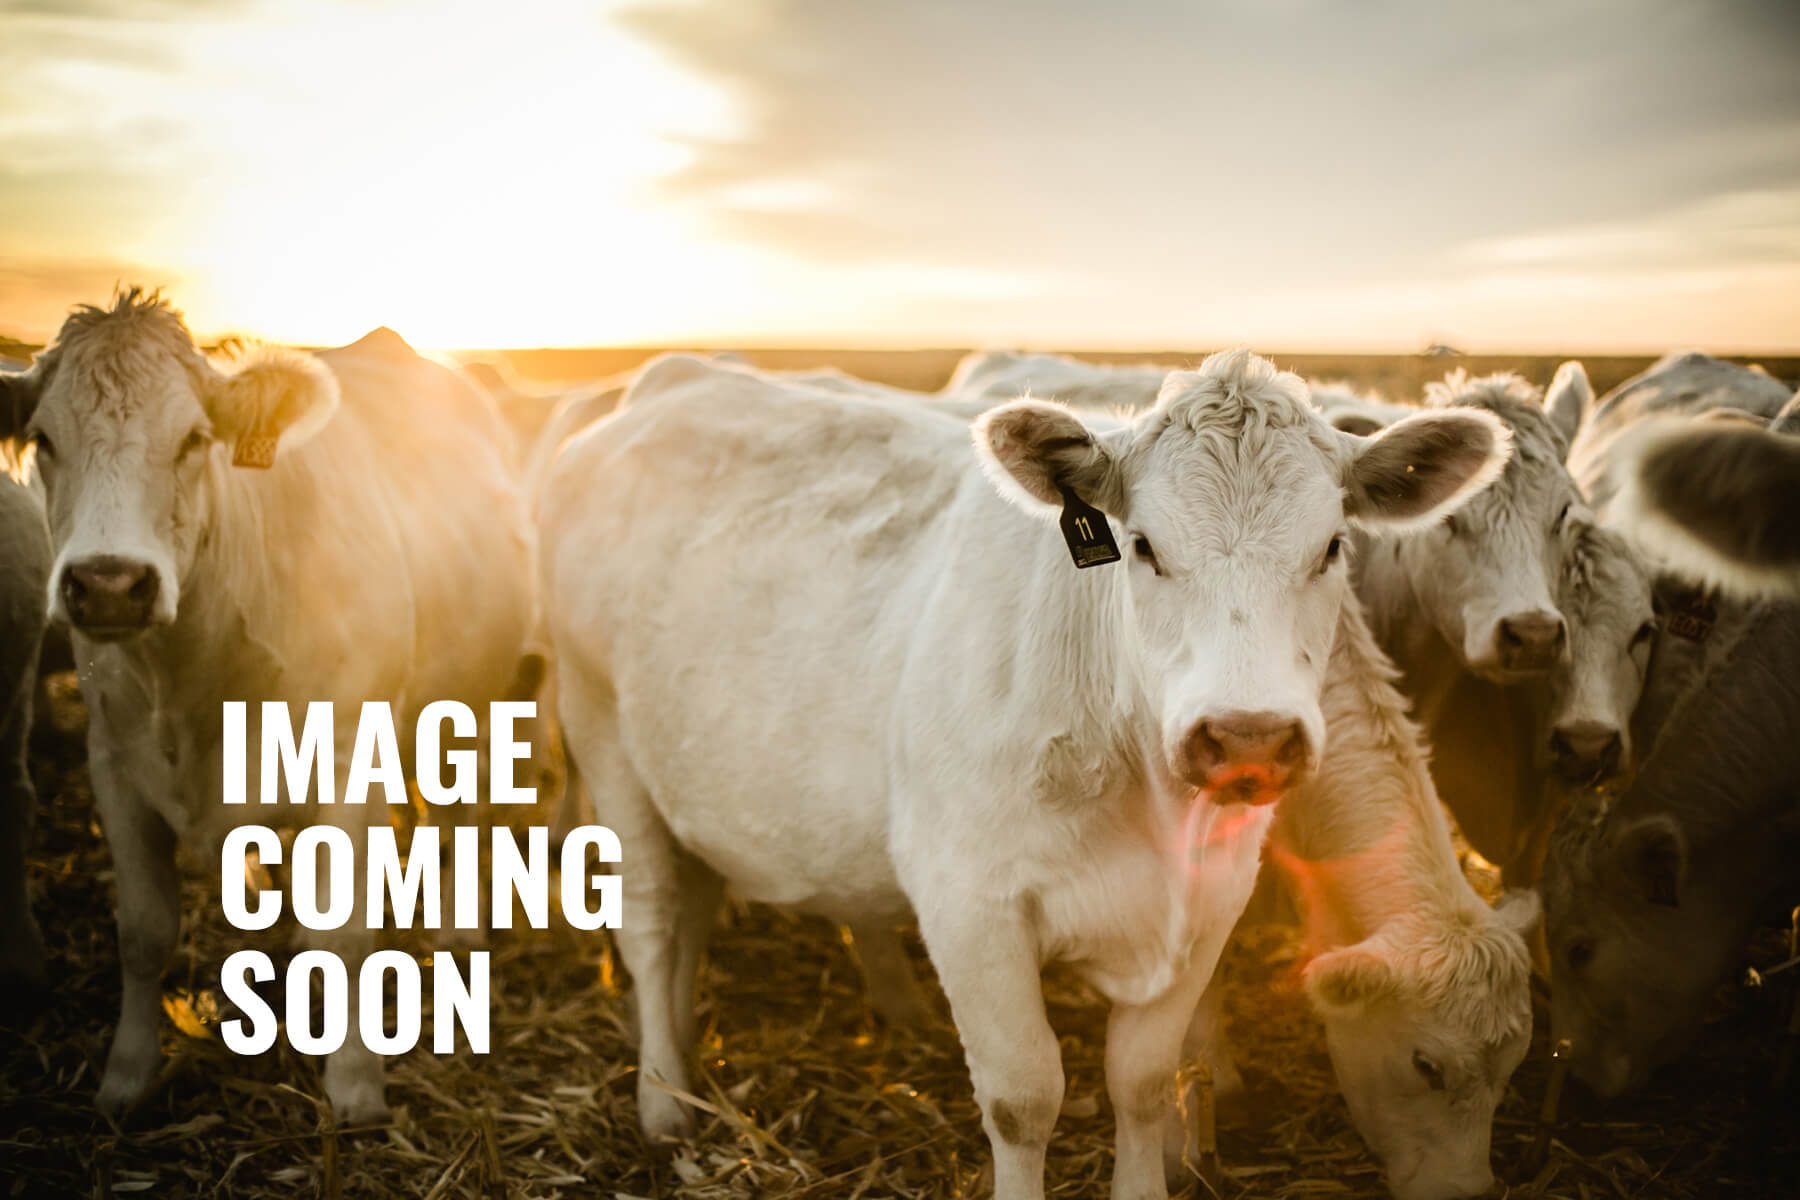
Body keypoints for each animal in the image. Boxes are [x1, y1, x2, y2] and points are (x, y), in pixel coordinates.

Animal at [0, 290, 536, 1121]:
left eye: (194, 439)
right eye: (44, 440)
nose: (112, 584)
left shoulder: (350, 762)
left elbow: (347, 934)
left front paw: (355, 1085)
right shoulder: (114, 763)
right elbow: (143, 932)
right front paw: (127, 1077)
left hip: (472, 708)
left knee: (460, 820)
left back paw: (458, 934)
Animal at [541, 350, 1509, 1200]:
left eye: (1333, 546)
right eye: (1143, 545)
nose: (1247, 738)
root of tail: (666, 380)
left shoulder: (1214, 902)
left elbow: (1142, 1080)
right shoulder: (969, 904)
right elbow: (1022, 1097)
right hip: (601, 732)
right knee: (652, 921)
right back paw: (663, 1105)